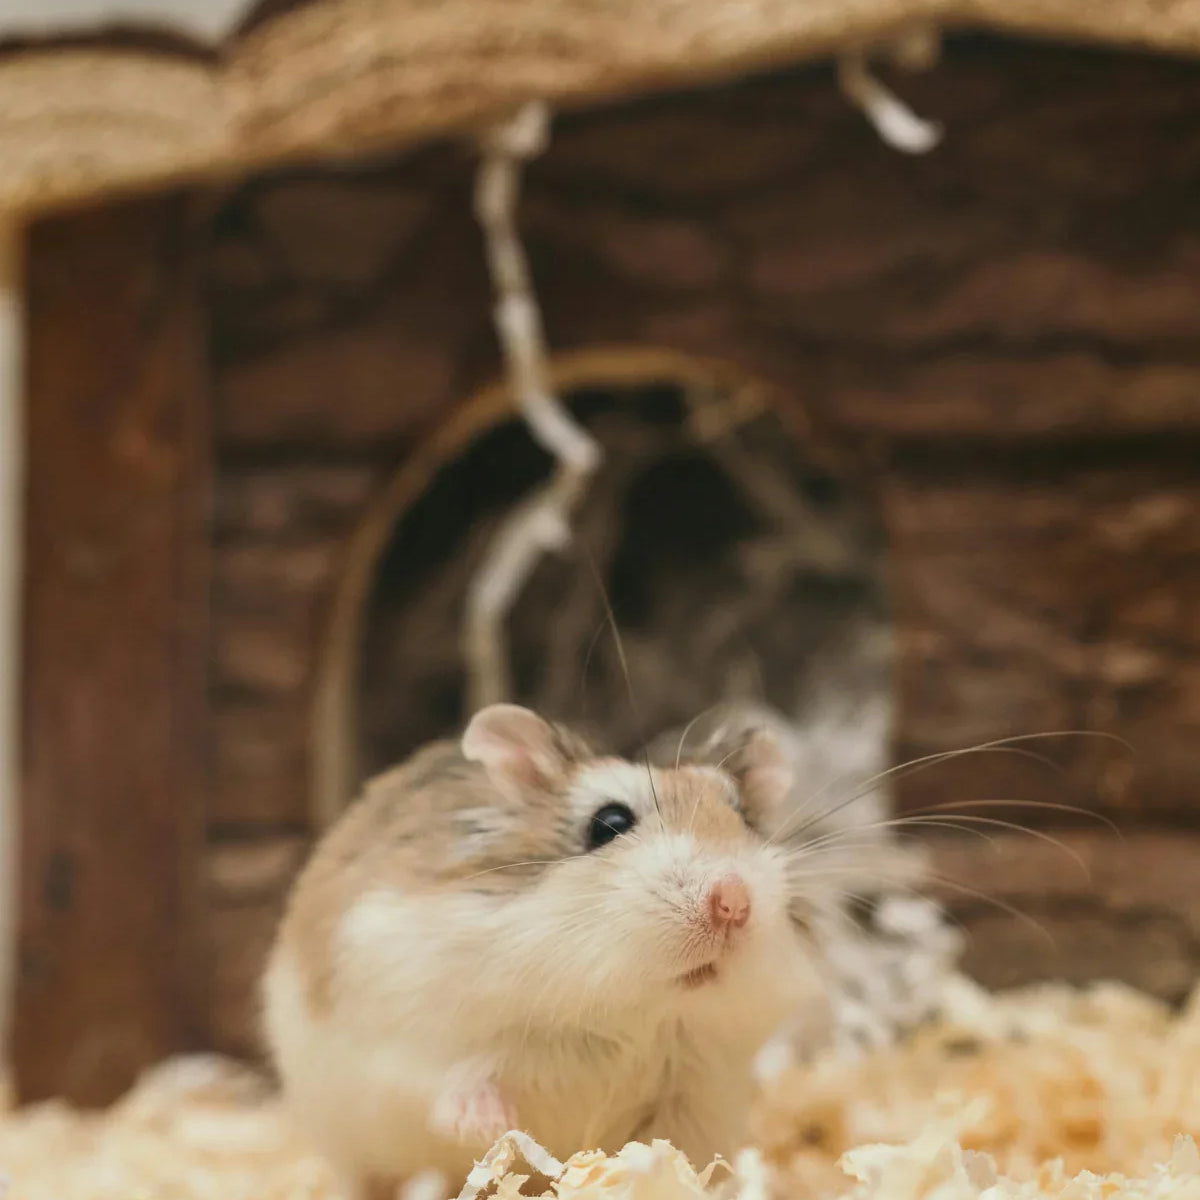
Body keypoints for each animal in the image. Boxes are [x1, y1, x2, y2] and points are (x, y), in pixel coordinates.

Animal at [262, 704, 836, 1200]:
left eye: (744, 818)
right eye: (609, 823)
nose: (734, 902)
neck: (628, 1010)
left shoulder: (697, 1095)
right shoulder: (406, 1034)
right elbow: (450, 1082)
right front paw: (494, 1126)